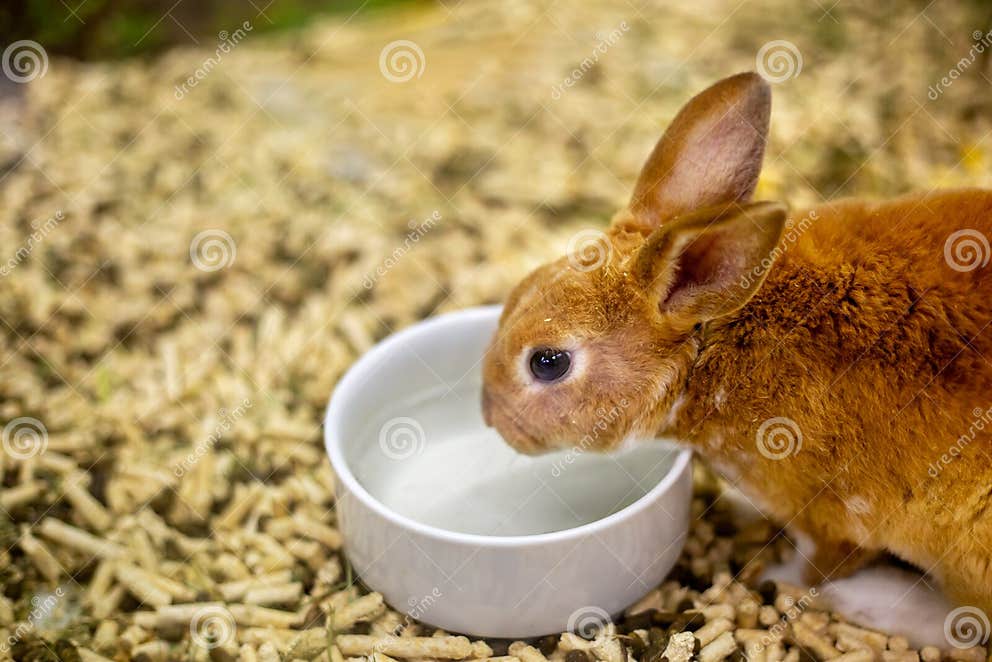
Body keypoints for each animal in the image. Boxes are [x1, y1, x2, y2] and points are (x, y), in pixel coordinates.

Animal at [481, 71, 992, 620]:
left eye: (548, 362)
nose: (490, 416)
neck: (707, 351)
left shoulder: (828, 513)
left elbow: (817, 562)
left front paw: (778, 576)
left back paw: (873, 603)